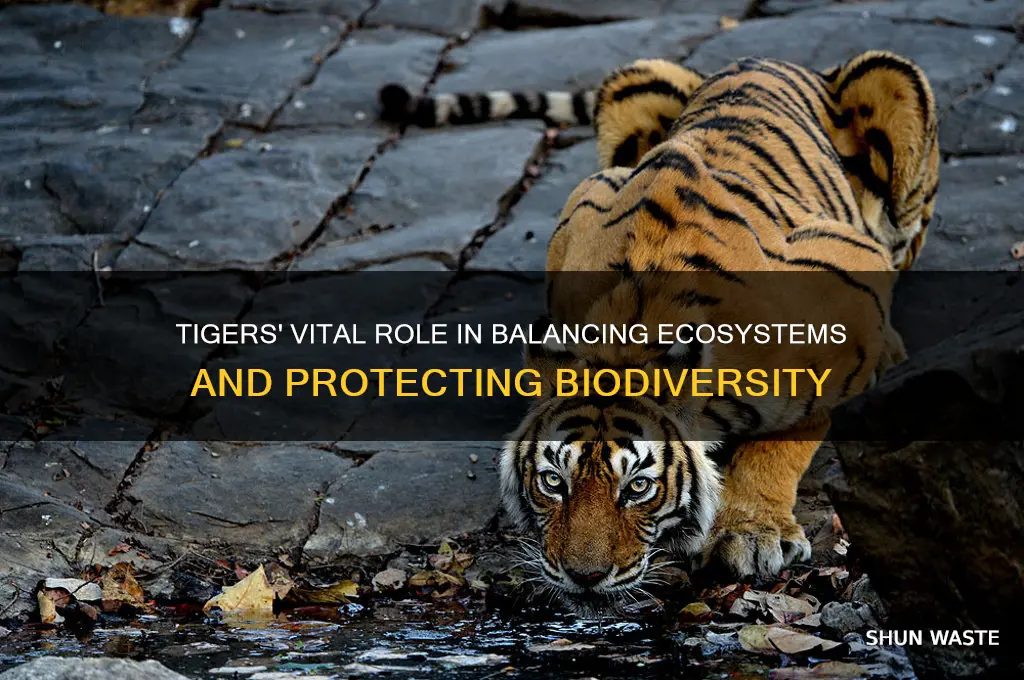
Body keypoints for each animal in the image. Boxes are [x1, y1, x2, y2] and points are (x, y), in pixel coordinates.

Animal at [380, 51, 939, 613]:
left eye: (638, 487)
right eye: (554, 482)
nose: (584, 576)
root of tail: (772, 60)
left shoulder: (846, 273)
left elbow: (789, 433)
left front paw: (752, 531)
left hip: (896, 87)